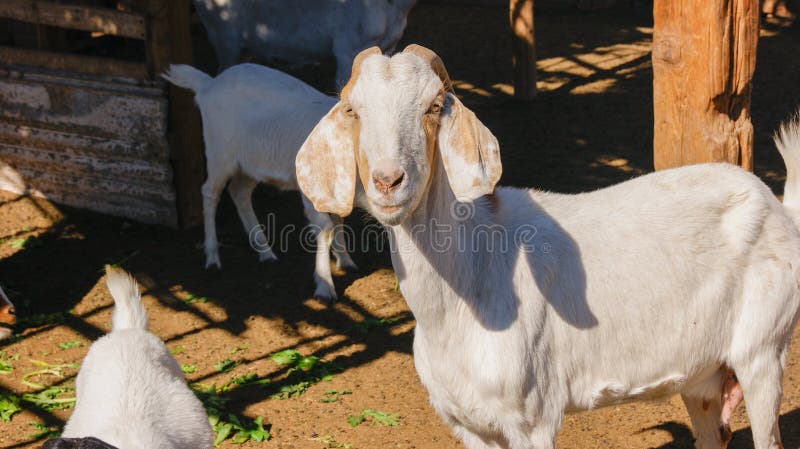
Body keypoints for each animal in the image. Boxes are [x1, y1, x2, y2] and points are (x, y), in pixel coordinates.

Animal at [162, 64, 357, 301]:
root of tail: (209, 83)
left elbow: (338, 219)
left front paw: (346, 261)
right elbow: (325, 227)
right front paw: (324, 287)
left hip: (250, 164)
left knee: (239, 192)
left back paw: (265, 252)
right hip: (219, 152)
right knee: (210, 192)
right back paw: (212, 257)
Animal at [295, 45, 800, 449]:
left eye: (434, 106)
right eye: (352, 110)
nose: (388, 181)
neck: (467, 285)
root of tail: (780, 209)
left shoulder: (531, 419)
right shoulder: (468, 425)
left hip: (763, 349)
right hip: (703, 377)